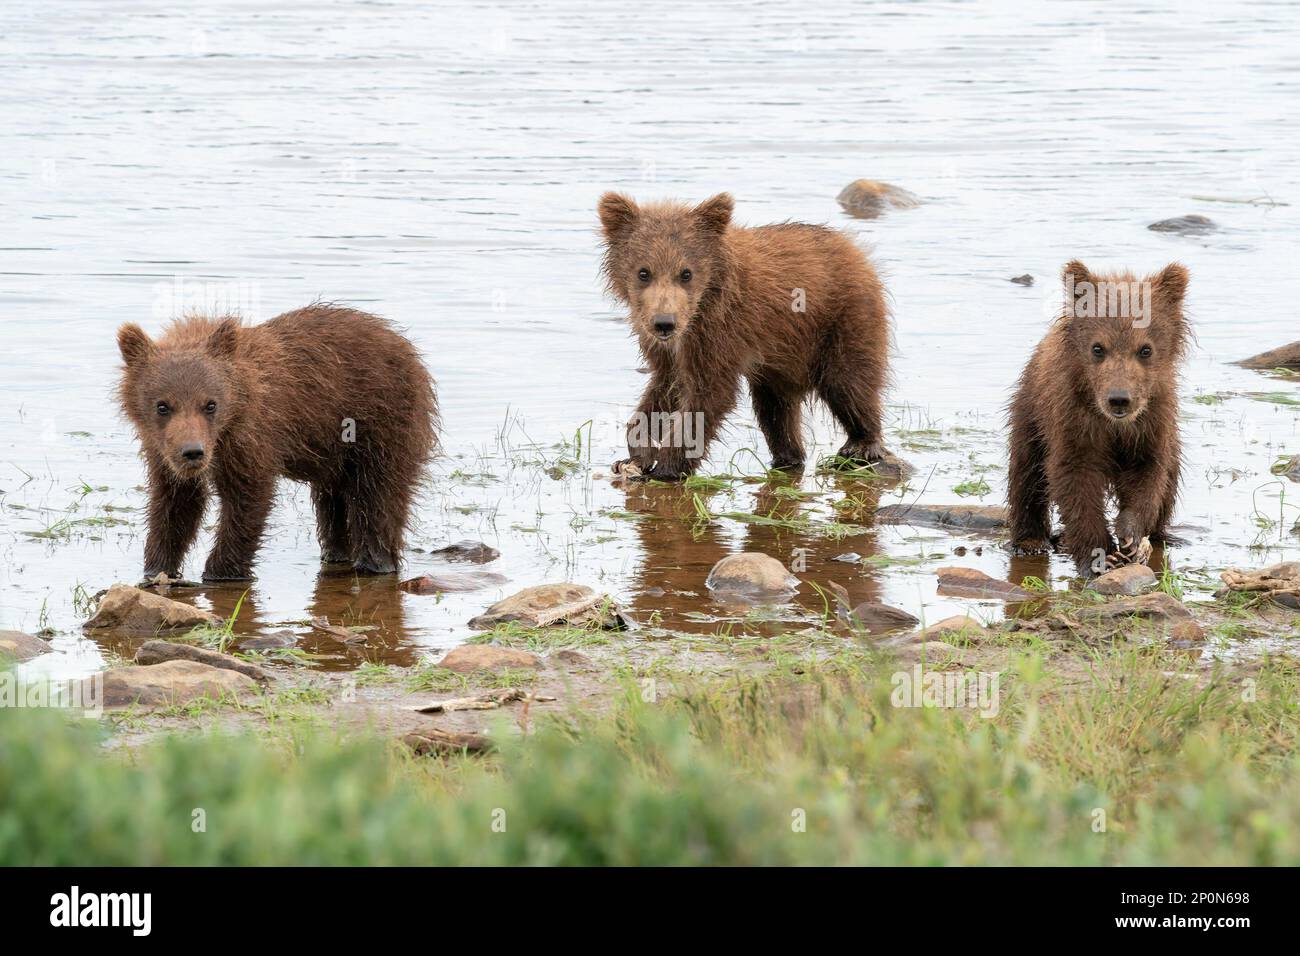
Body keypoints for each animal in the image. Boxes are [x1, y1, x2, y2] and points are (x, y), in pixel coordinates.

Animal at [116, 304, 438, 581]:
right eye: (162, 405)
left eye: (210, 404)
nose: (192, 452)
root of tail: (407, 347)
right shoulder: (162, 450)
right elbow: (175, 504)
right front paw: (157, 567)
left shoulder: (252, 437)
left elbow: (248, 497)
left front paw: (221, 571)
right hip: (336, 452)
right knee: (333, 499)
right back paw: (337, 552)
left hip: (382, 420)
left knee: (378, 495)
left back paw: (375, 562)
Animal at [597, 192, 893, 480]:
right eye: (643, 272)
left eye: (686, 273)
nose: (664, 323)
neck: (699, 309)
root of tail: (853, 248)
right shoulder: (666, 347)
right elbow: (665, 387)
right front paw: (635, 454)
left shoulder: (720, 333)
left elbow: (708, 394)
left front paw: (667, 468)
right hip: (780, 356)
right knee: (774, 407)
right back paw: (788, 455)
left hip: (843, 320)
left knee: (848, 381)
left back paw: (862, 444)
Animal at [1007, 260, 1189, 576]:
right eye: (1097, 347)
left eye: (1146, 349)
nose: (1119, 399)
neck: (1115, 425)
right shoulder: (1073, 420)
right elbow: (1074, 479)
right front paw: (1100, 556)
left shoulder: (1152, 420)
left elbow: (1149, 473)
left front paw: (1130, 534)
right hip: (1032, 408)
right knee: (1026, 470)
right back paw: (1030, 540)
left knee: (1171, 477)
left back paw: (1161, 535)